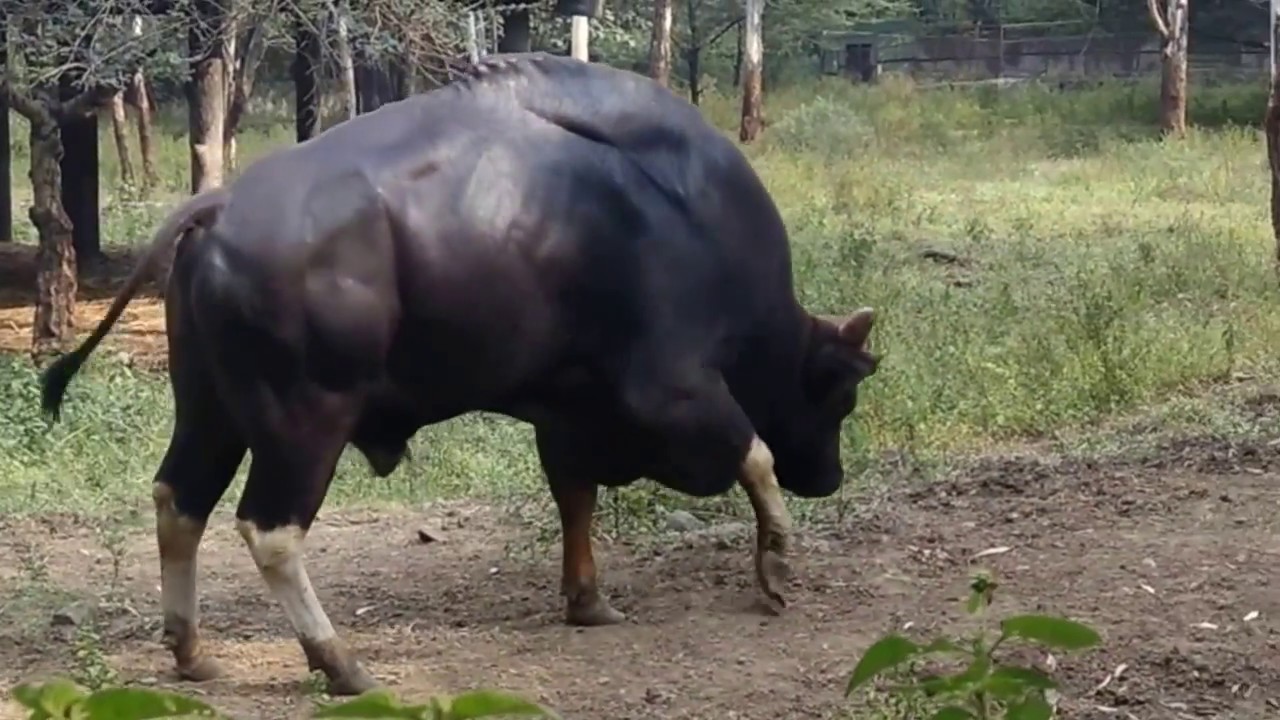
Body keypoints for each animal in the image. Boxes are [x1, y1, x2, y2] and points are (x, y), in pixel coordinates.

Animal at [39, 53, 879, 695]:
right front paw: (776, 563)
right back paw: (341, 663)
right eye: (842, 391)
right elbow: (754, 454)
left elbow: (575, 497)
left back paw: (191, 649)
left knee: (179, 501)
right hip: (304, 422)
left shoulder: (569, 408)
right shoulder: (672, 389)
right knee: (270, 530)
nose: (830, 477)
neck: (689, 214)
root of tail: (215, 208)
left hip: (208, 411)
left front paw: (588, 600)